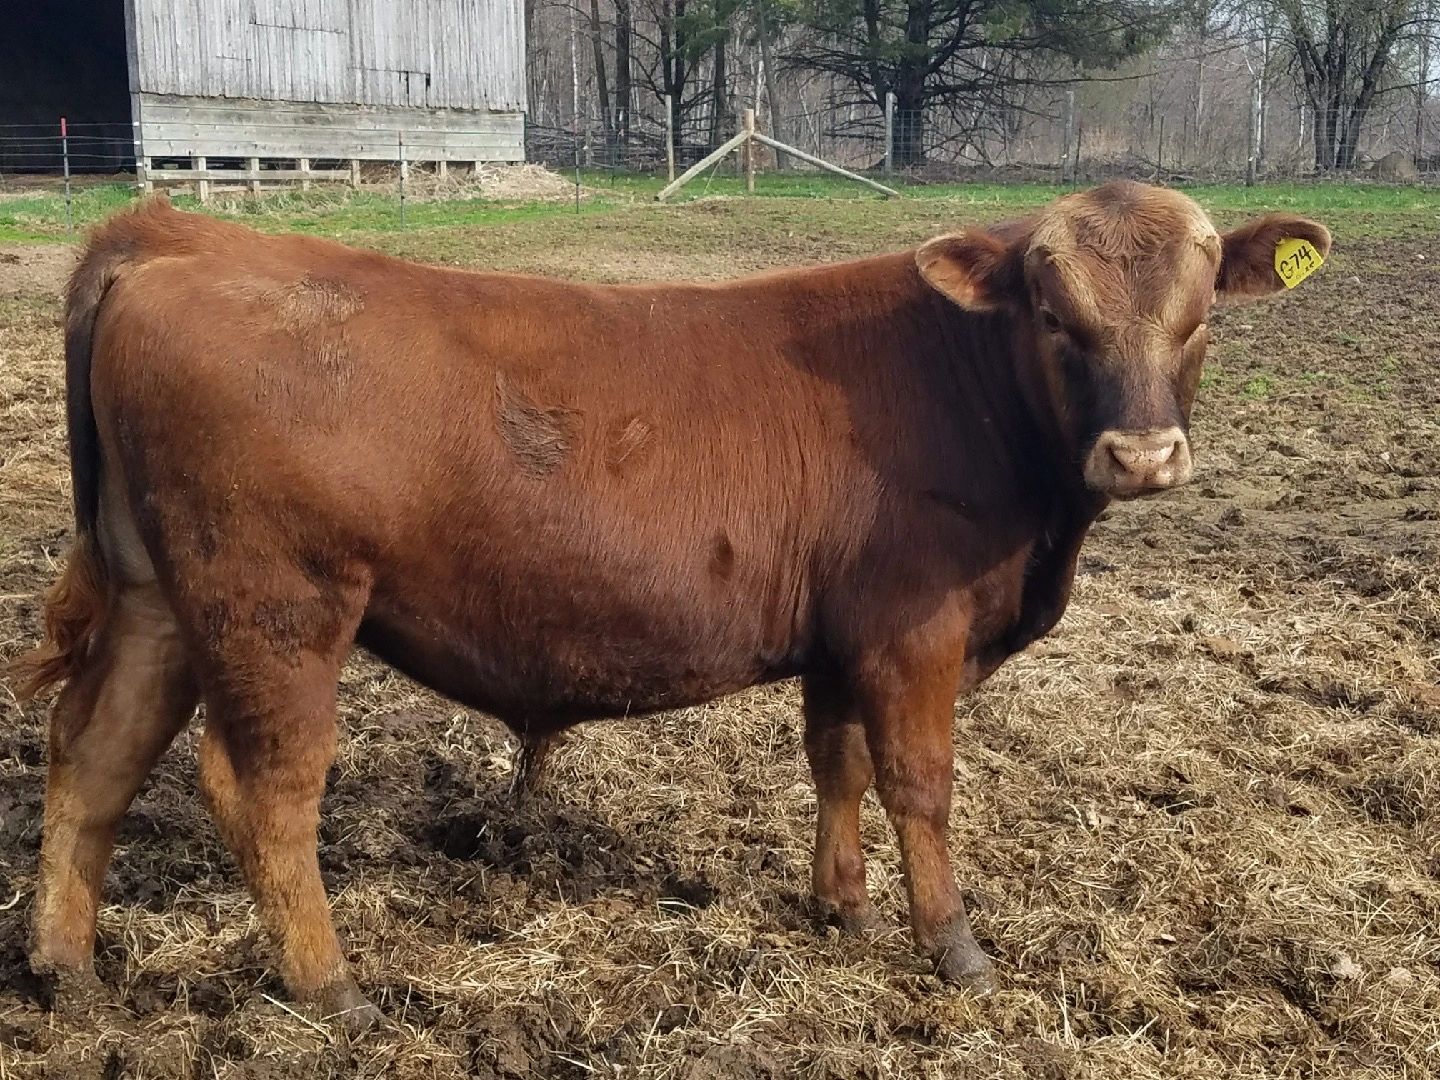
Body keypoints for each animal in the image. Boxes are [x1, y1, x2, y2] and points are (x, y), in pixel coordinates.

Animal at [12, 181, 1329, 1028]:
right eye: (1057, 316)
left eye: (1200, 315)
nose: (1143, 455)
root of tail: (179, 235)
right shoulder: (915, 631)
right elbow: (919, 782)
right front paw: (955, 949)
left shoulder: (842, 635)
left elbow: (839, 764)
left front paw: (842, 910)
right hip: (277, 607)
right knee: (266, 791)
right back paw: (333, 988)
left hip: (158, 597)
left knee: (93, 754)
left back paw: (63, 969)